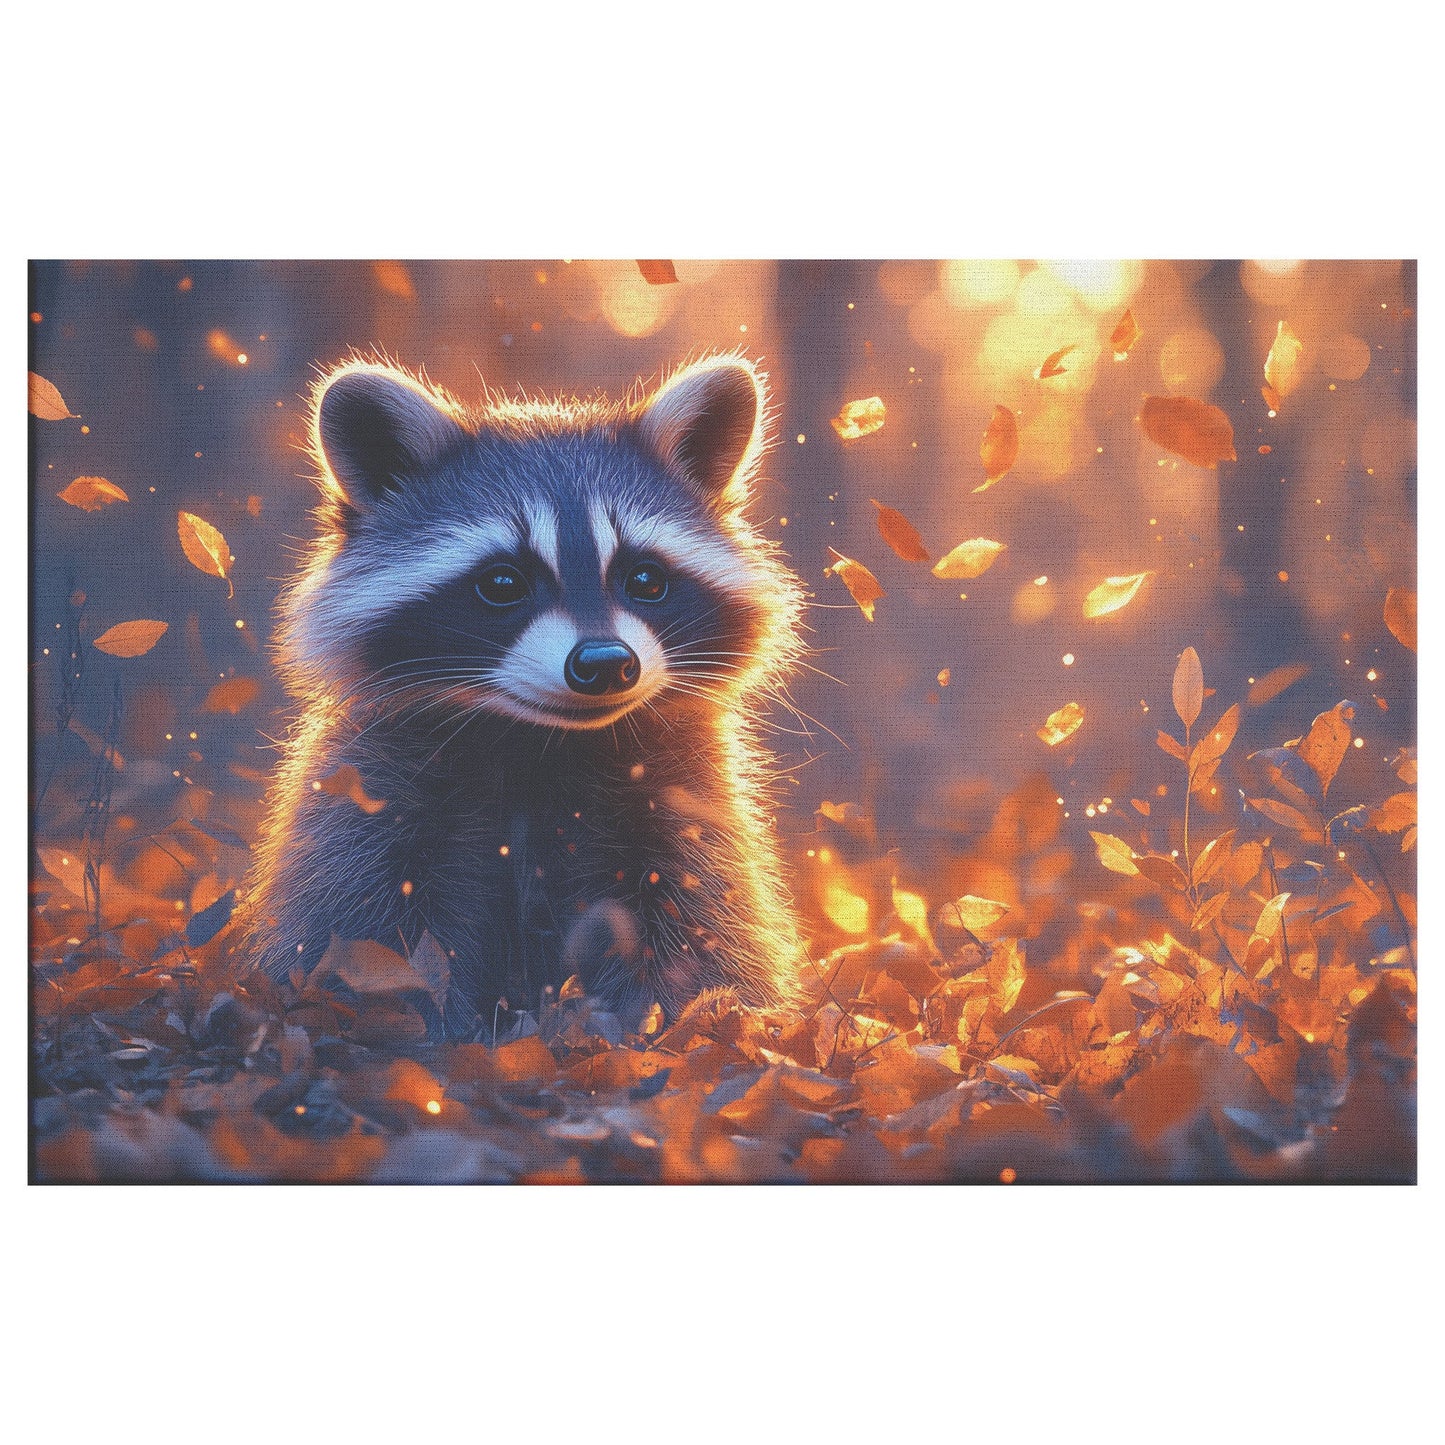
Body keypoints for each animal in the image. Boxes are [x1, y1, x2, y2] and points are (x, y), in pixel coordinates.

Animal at [247, 352, 809, 1034]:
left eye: (645, 579)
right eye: (502, 583)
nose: (605, 664)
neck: (543, 743)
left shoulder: (684, 799)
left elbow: (705, 925)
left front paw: (673, 1020)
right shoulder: (369, 789)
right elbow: (357, 921)